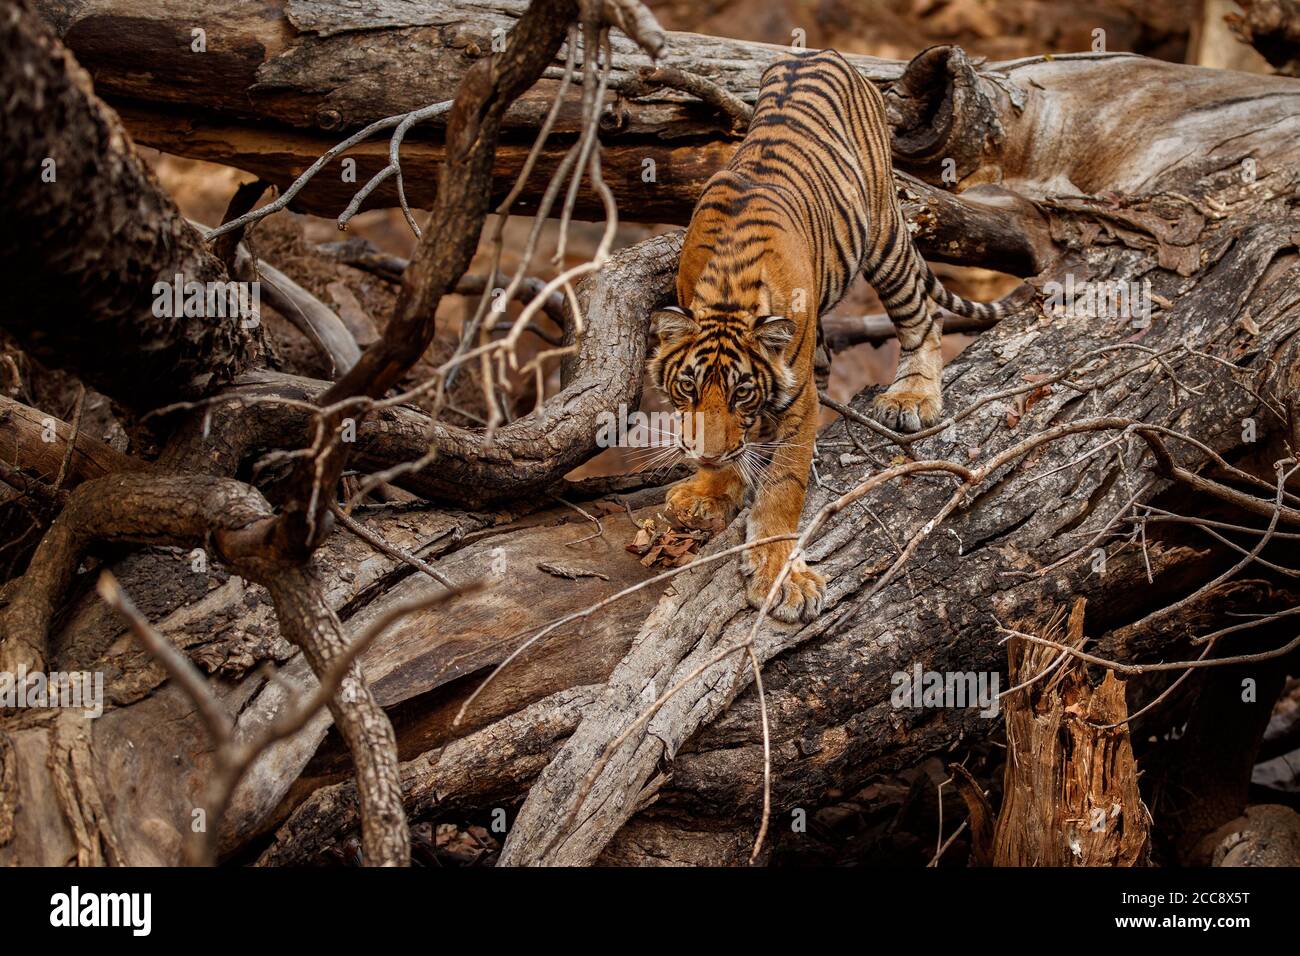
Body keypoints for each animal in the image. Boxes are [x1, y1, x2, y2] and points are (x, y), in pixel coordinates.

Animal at [649, 48, 1033, 623]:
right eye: (688, 389)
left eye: (742, 393)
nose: (710, 459)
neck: (729, 297)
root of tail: (821, 52)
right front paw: (712, 489)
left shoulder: (796, 398)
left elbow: (783, 485)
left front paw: (781, 577)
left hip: (884, 235)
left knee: (922, 317)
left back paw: (912, 396)